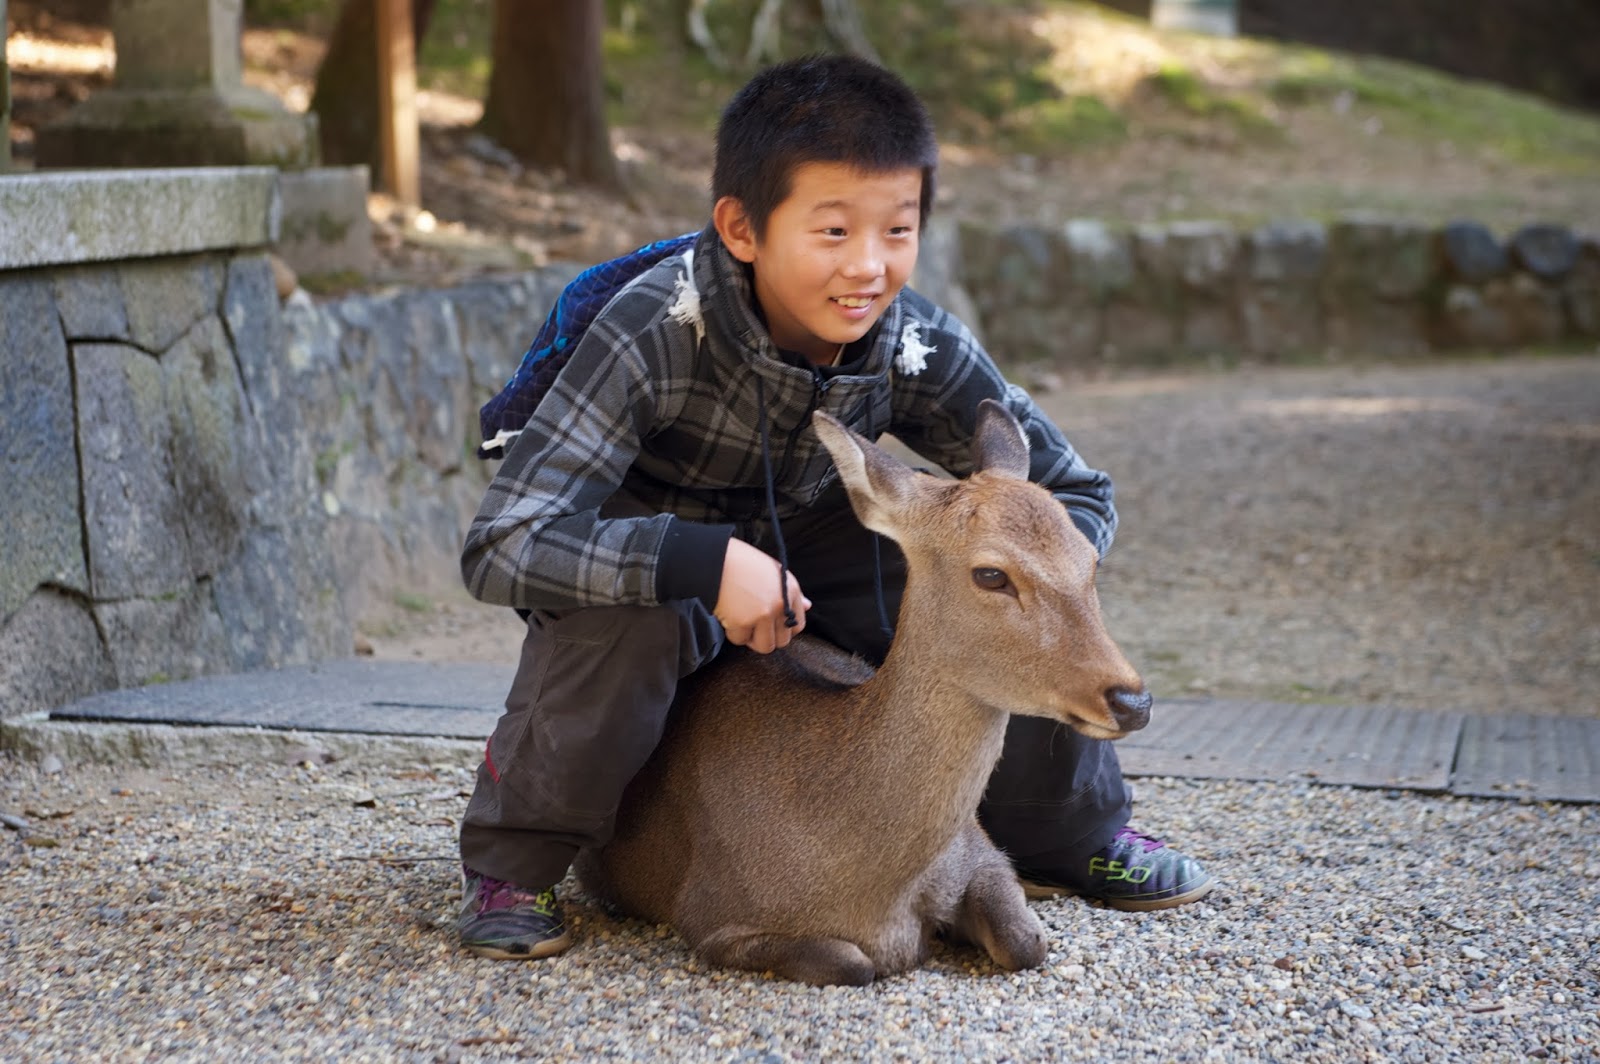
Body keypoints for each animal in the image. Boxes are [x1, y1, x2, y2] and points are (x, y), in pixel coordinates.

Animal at [575, 399, 1153, 986]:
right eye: (991, 574)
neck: (878, 893)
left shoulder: (980, 853)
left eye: (1091, 557)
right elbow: (854, 964)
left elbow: (1026, 943)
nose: (1132, 700)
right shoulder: (711, 916)